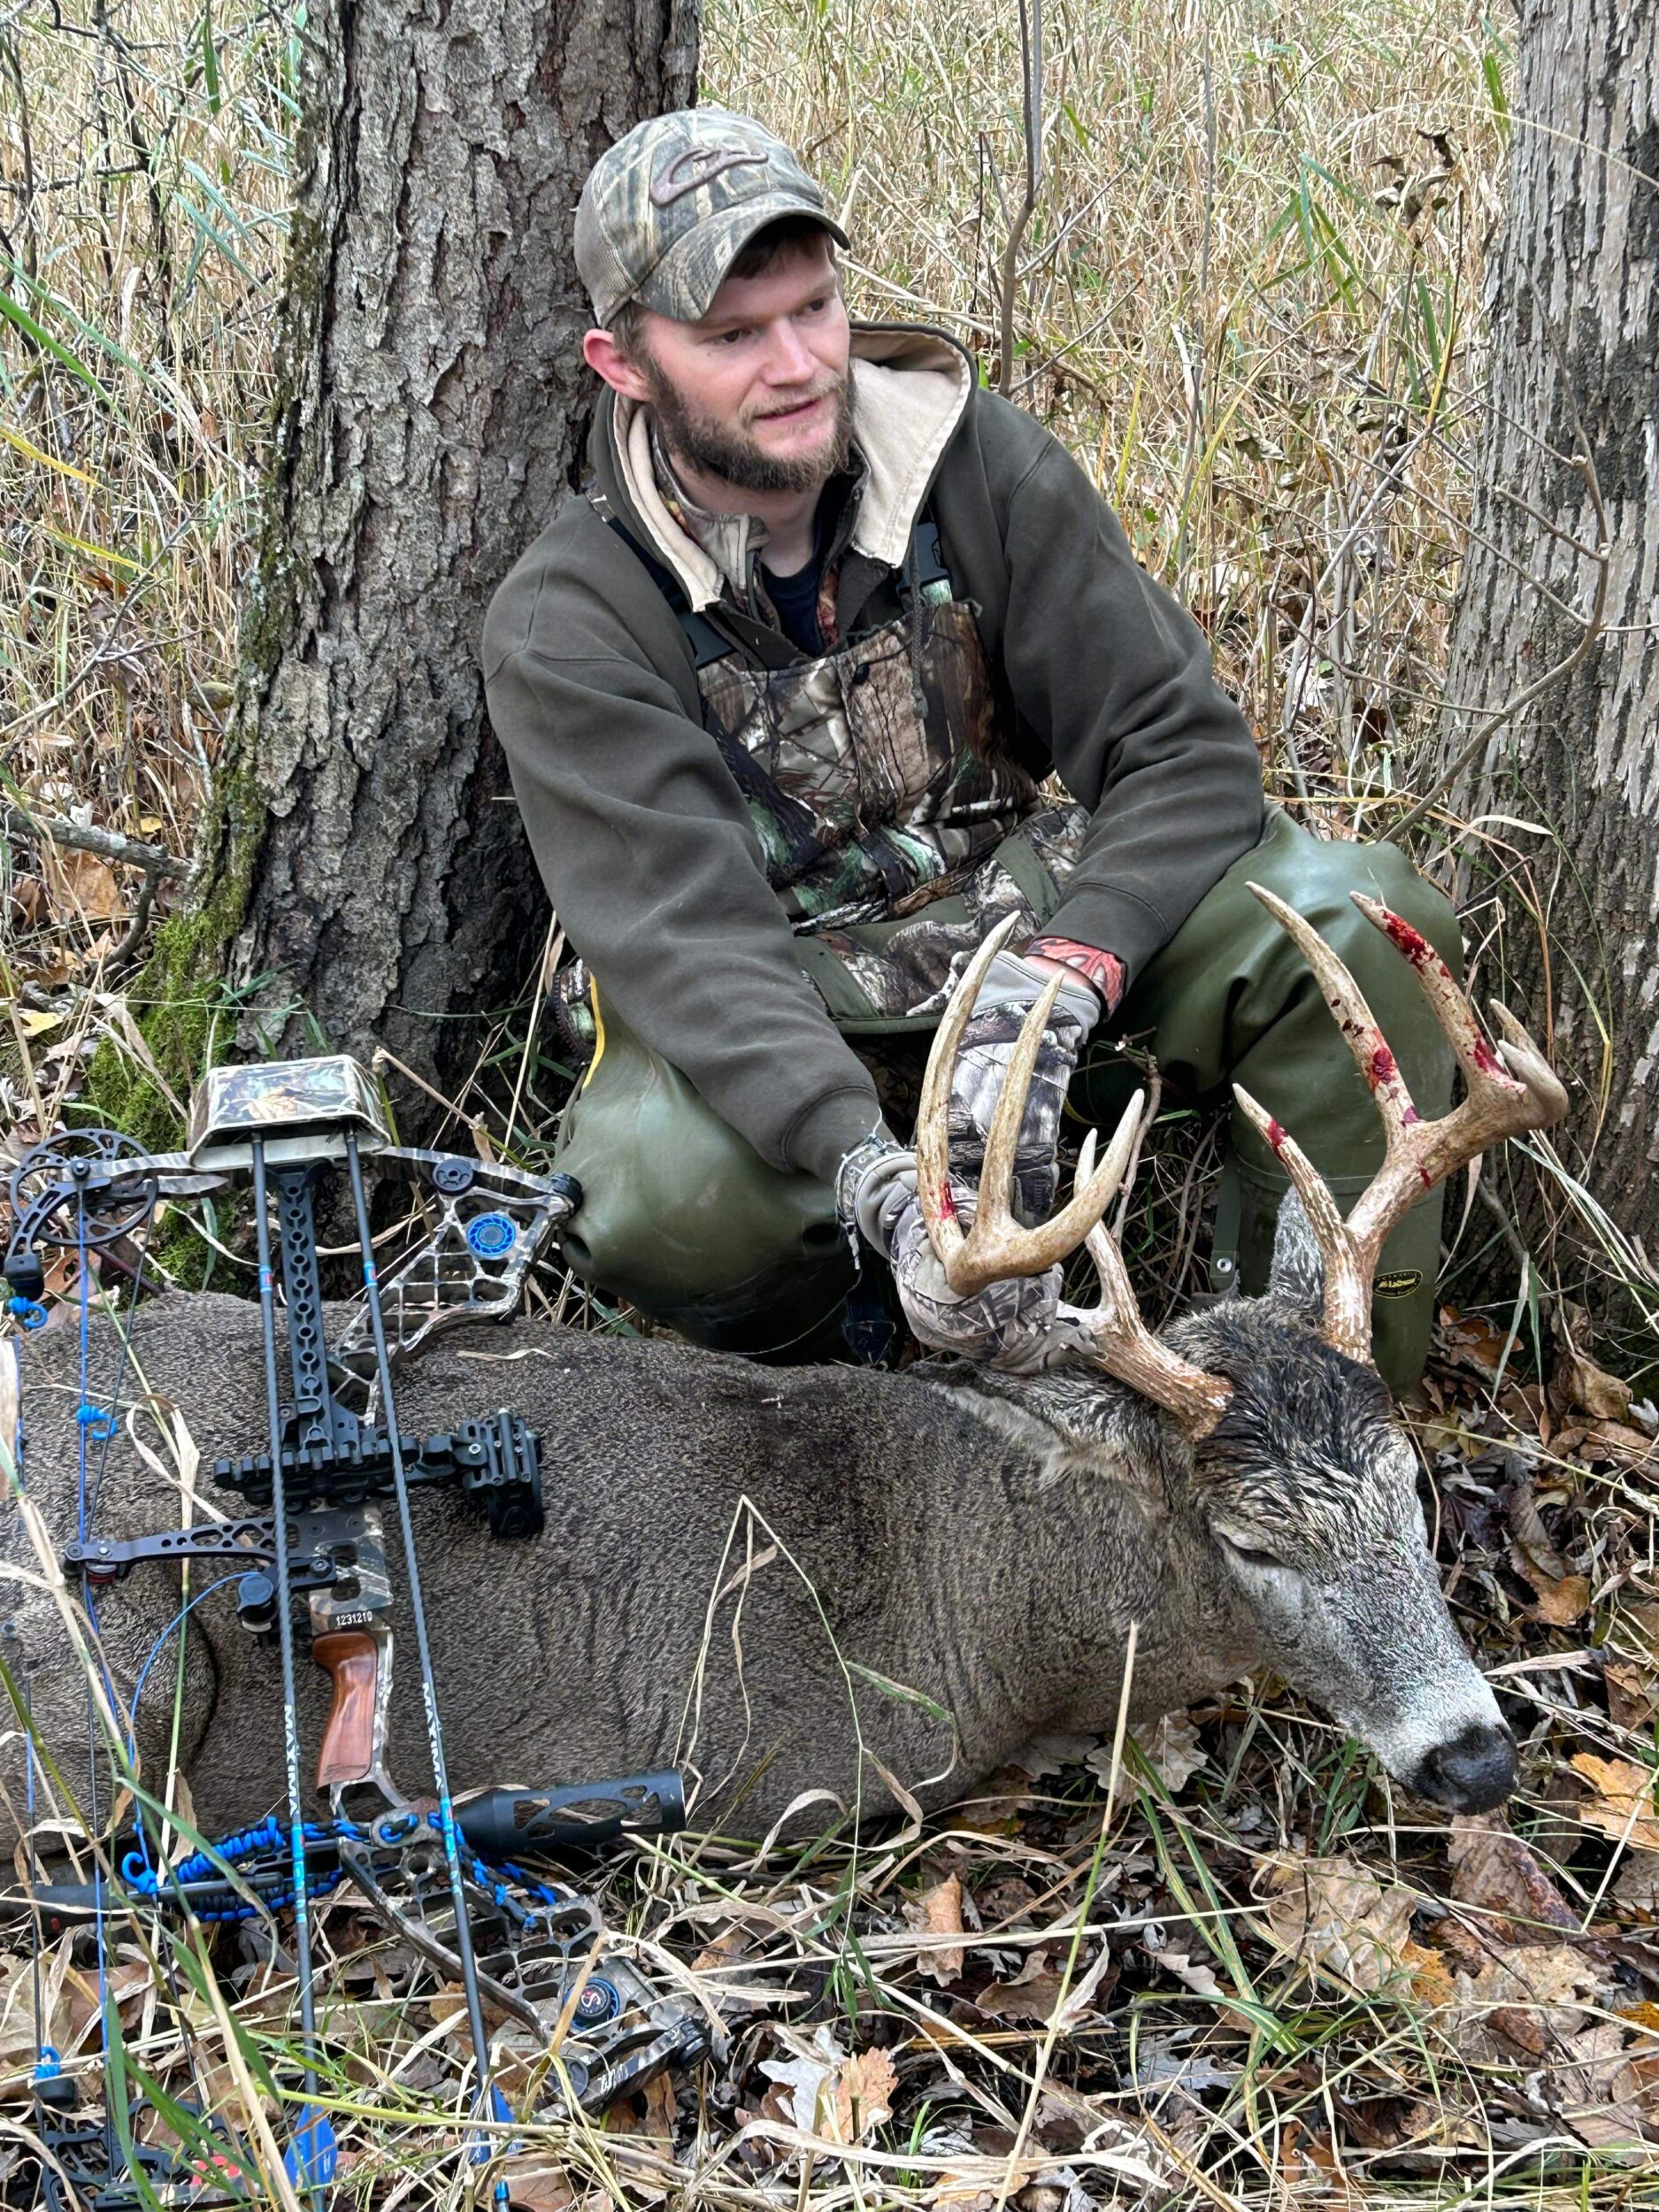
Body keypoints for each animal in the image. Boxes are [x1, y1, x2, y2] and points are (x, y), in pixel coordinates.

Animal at [0, 886, 1565, 1856]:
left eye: (1410, 1491)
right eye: (1252, 1541)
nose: (1473, 1758)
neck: (978, 1597)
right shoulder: (772, 1782)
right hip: (105, 1697)